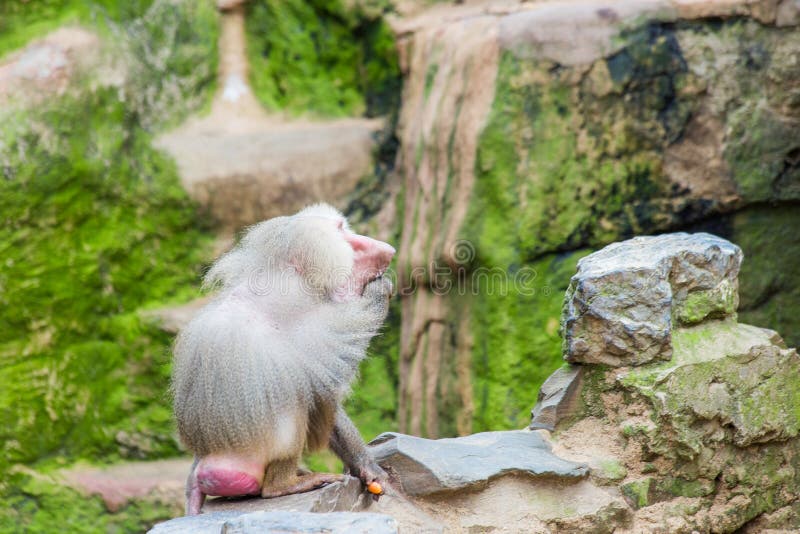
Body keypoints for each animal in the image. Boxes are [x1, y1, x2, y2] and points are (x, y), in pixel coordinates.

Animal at [171, 203, 396, 515]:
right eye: (342, 234)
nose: (388, 249)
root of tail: (202, 463)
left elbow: (322, 396)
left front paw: (367, 468)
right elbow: (319, 380)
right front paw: (380, 289)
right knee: (293, 405)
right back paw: (287, 484)